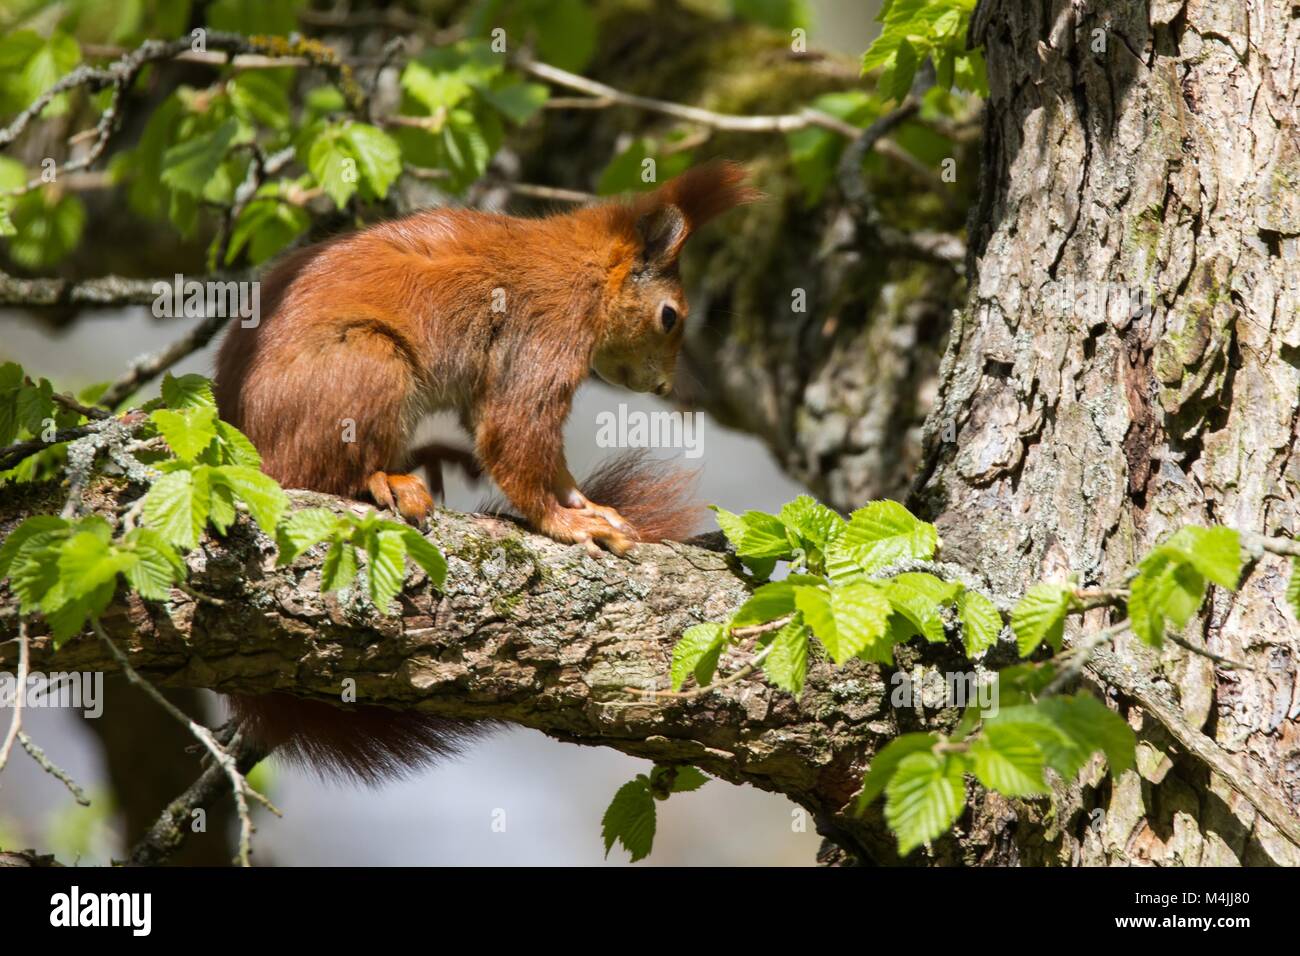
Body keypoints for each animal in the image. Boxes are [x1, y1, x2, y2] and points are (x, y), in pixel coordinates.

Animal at [213, 160, 757, 783]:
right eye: (670, 317)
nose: (666, 388)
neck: (584, 266)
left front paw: (586, 504)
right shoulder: (548, 329)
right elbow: (514, 436)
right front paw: (569, 524)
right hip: (367, 366)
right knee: (319, 474)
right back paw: (385, 482)